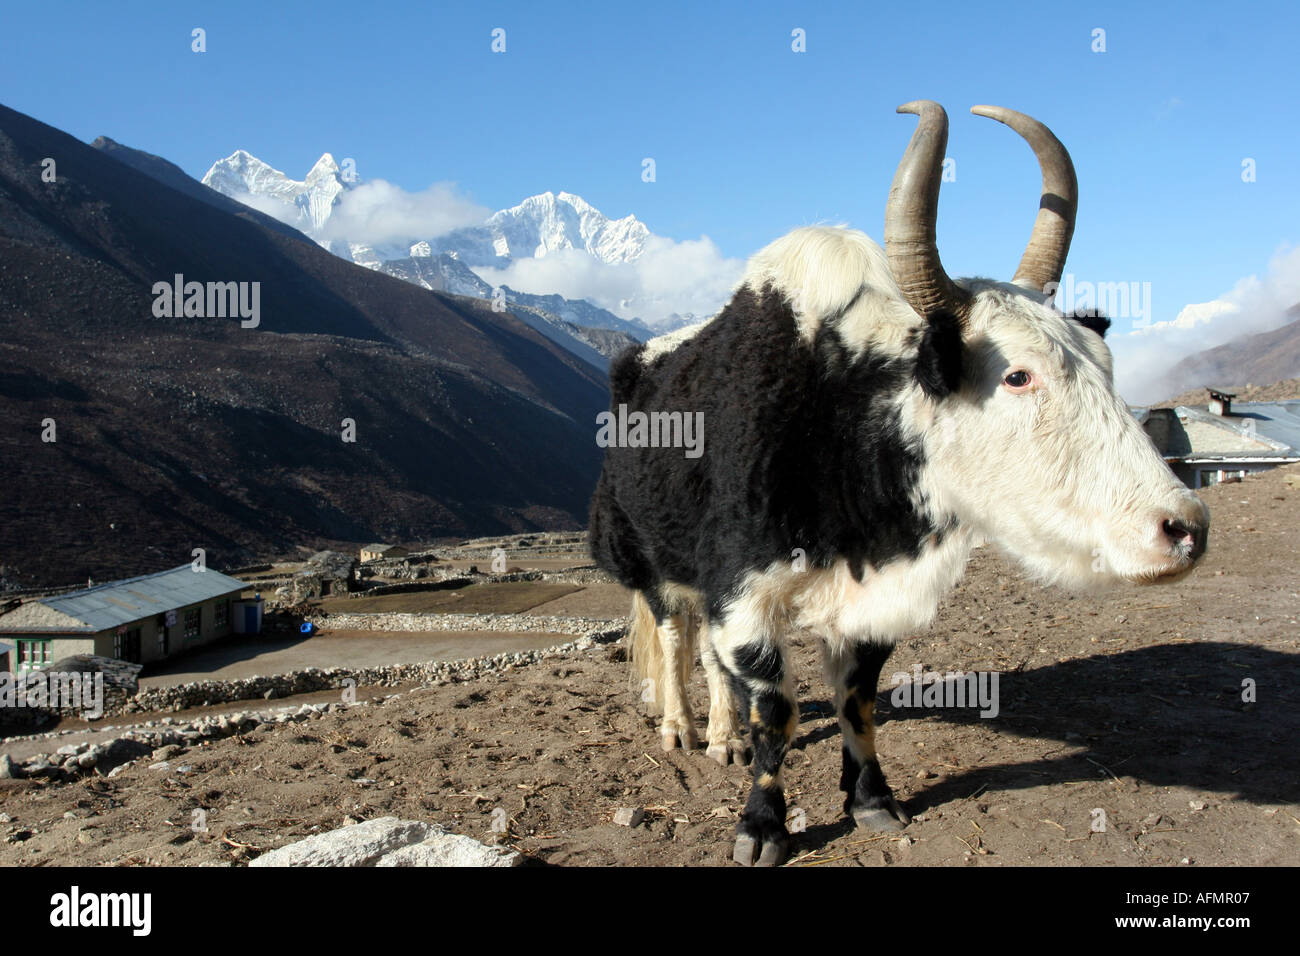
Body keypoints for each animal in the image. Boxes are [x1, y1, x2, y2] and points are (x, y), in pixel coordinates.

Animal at [587, 101, 1209, 867]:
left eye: (1104, 362)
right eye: (1017, 374)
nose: (1183, 528)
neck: (839, 419)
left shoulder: (868, 599)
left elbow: (857, 698)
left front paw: (872, 802)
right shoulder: (746, 591)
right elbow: (777, 710)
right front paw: (762, 828)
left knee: (705, 649)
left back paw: (723, 739)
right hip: (646, 556)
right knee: (676, 637)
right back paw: (681, 729)